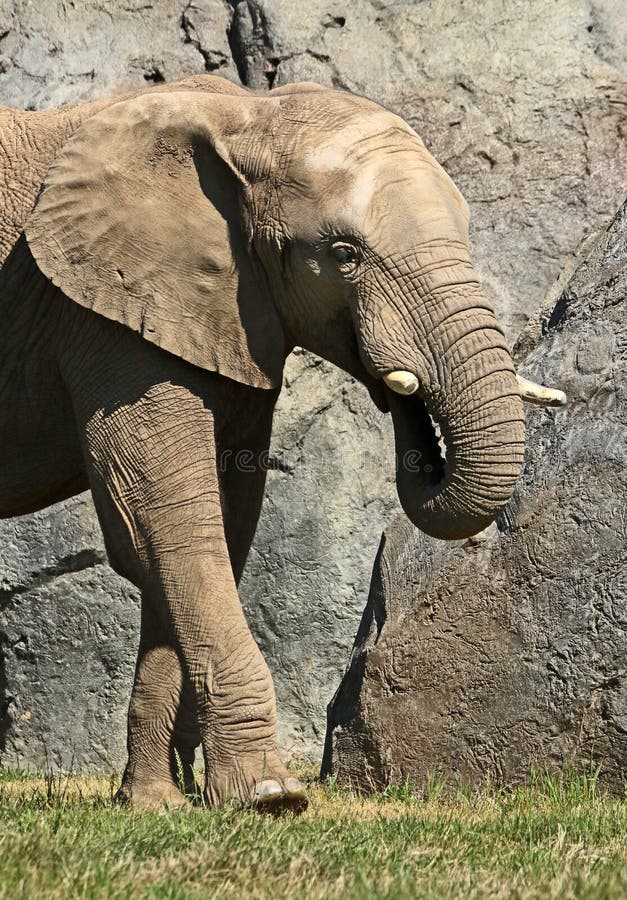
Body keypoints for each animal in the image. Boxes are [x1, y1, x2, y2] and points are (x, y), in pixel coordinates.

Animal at [0, 74, 565, 812]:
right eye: (343, 256)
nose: (399, 386)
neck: (245, 113)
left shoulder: (220, 311)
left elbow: (220, 521)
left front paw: (157, 804)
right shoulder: (102, 312)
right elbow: (163, 517)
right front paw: (268, 797)